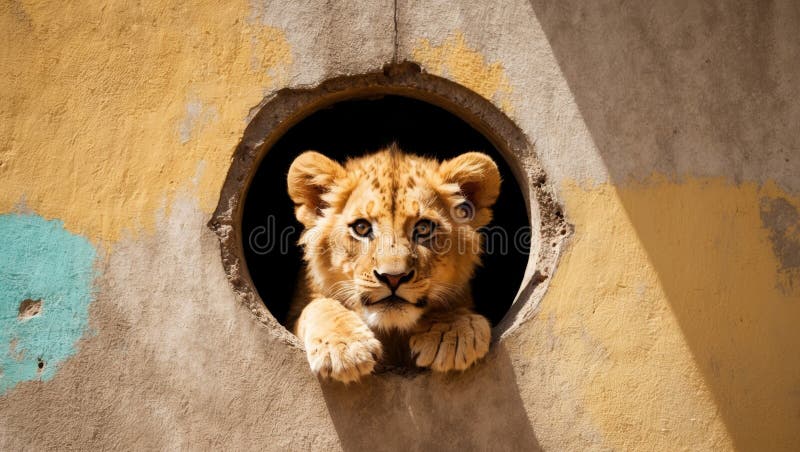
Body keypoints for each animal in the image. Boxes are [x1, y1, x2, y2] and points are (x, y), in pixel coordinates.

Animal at [286, 144, 501, 383]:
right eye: (361, 227)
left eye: (423, 228)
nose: (393, 277)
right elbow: (317, 306)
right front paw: (344, 347)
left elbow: (453, 306)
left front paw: (450, 334)